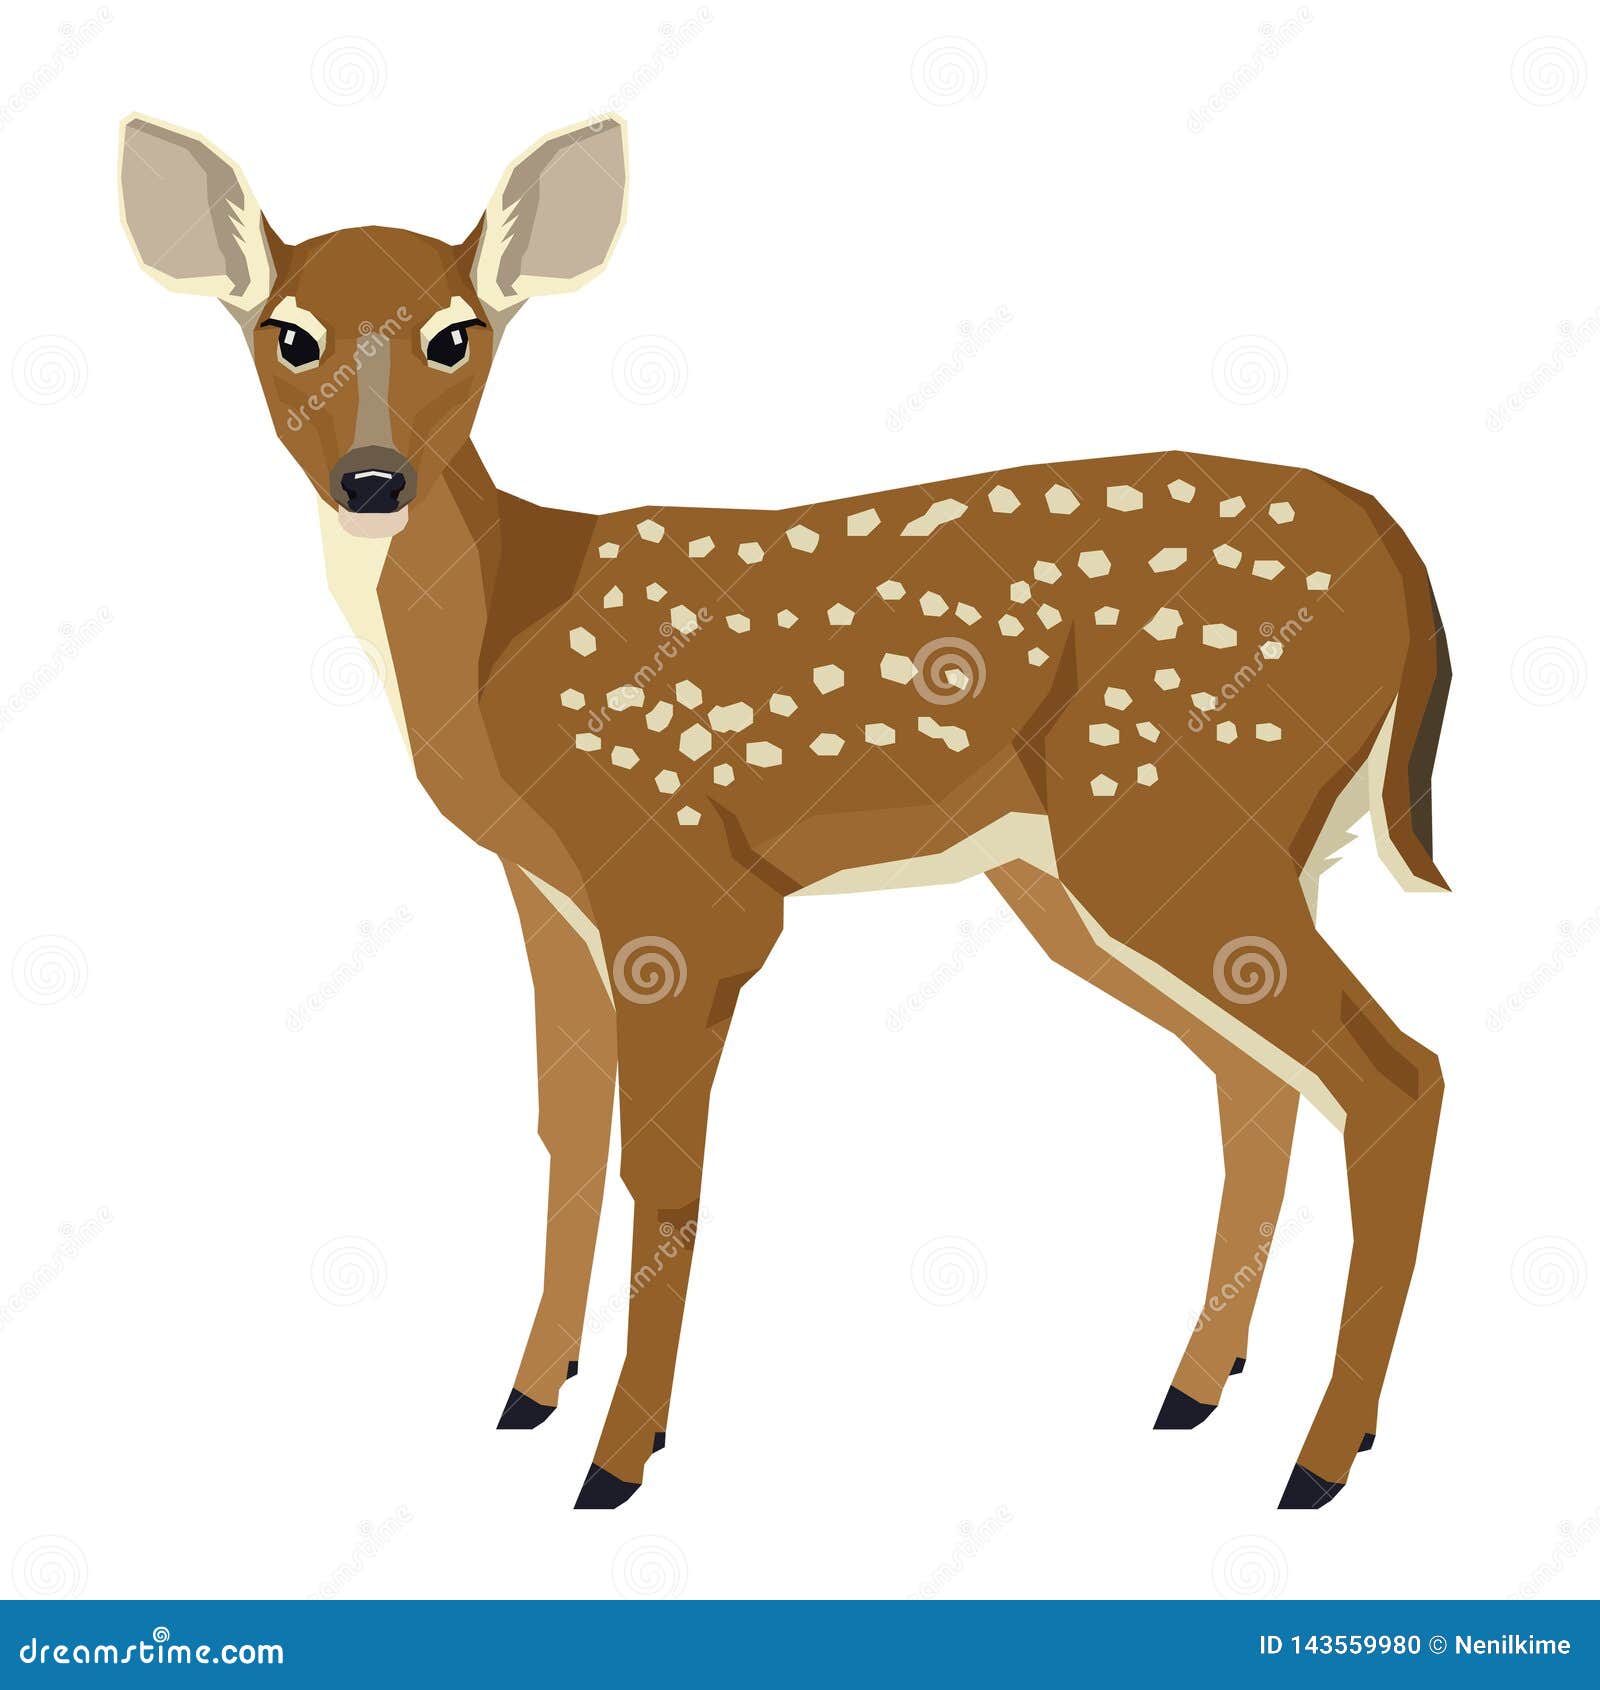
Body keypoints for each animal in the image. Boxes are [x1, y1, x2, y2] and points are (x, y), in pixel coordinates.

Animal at [119, 112, 1449, 1512]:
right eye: (289, 333)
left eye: (455, 333)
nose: (372, 478)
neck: (506, 646)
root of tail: (1406, 563)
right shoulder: (546, 891)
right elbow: (564, 1129)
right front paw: (529, 1393)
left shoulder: (681, 883)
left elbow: (663, 1170)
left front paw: (619, 1459)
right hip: (1117, 864)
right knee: (1258, 1081)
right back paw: (1195, 1392)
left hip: (1170, 810)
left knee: (1393, 1076)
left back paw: (1319, 1457)